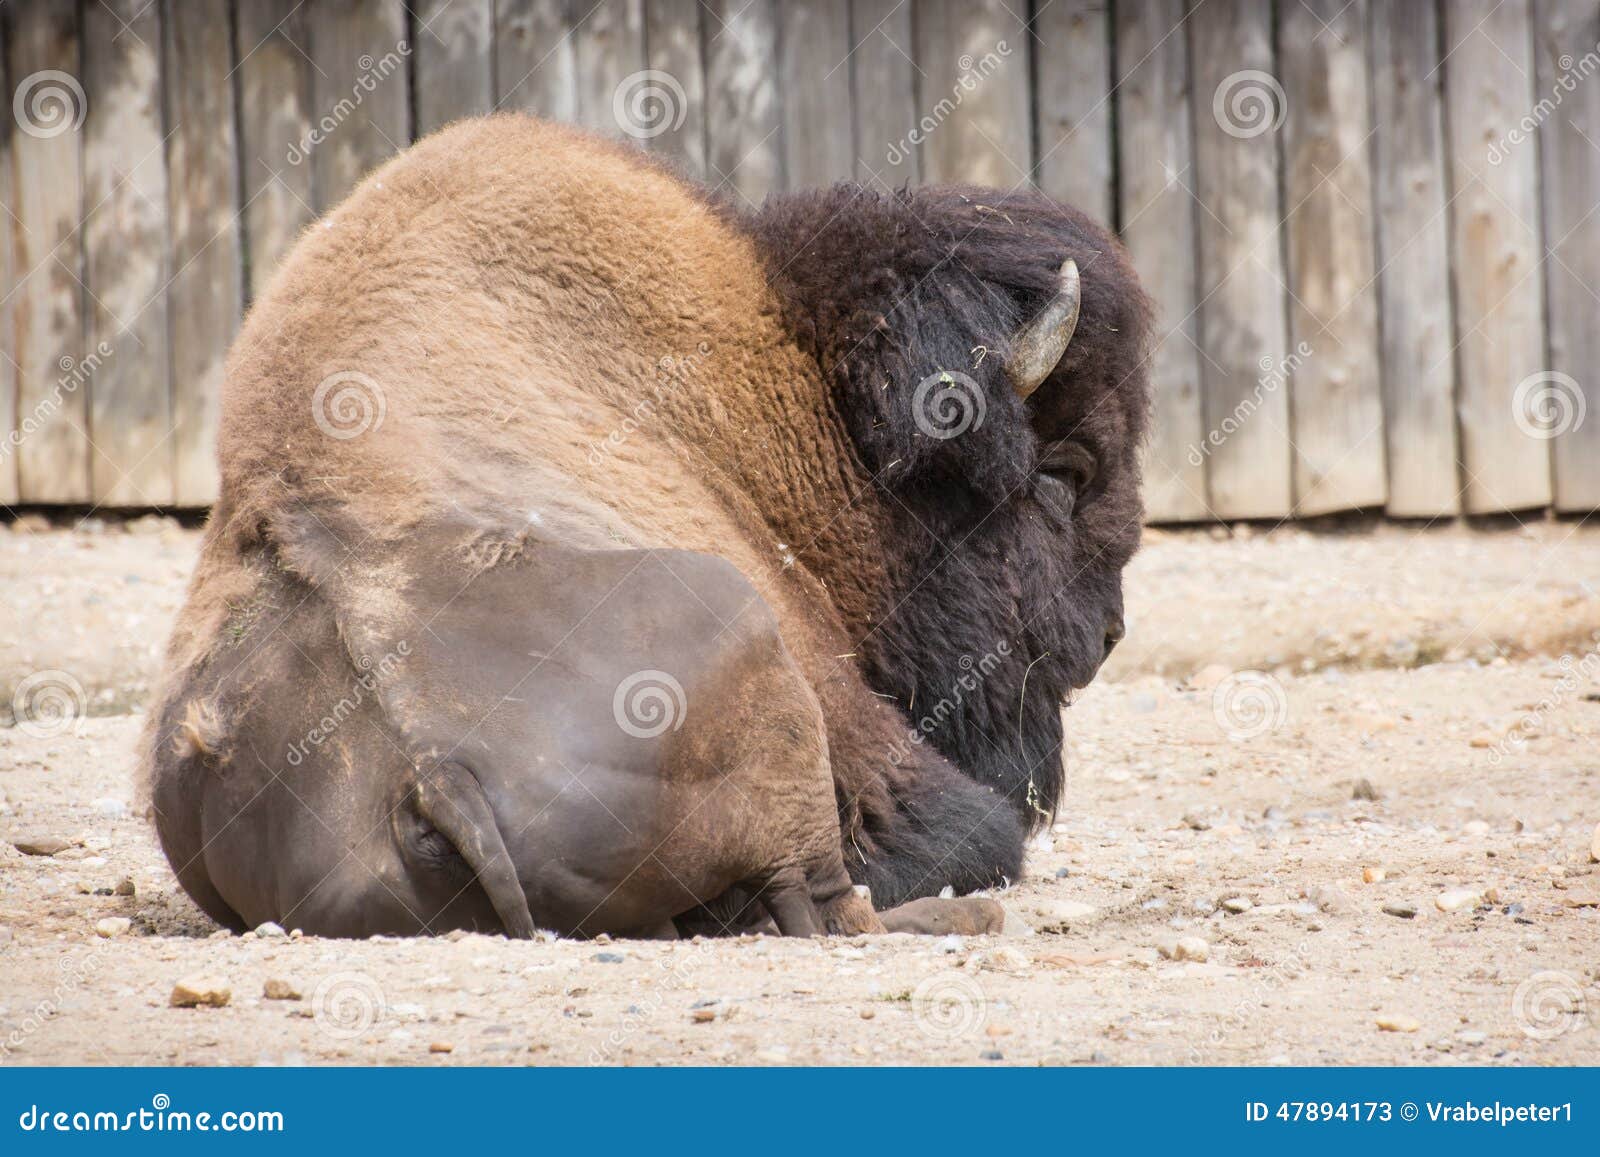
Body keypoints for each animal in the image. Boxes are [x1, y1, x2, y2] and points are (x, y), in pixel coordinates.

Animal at [141, 116, 1151, 939]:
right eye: (1064, 471)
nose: (1107, 634)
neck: (788, 382)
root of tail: (430, 767)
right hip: (758, 641)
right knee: (843, 893)